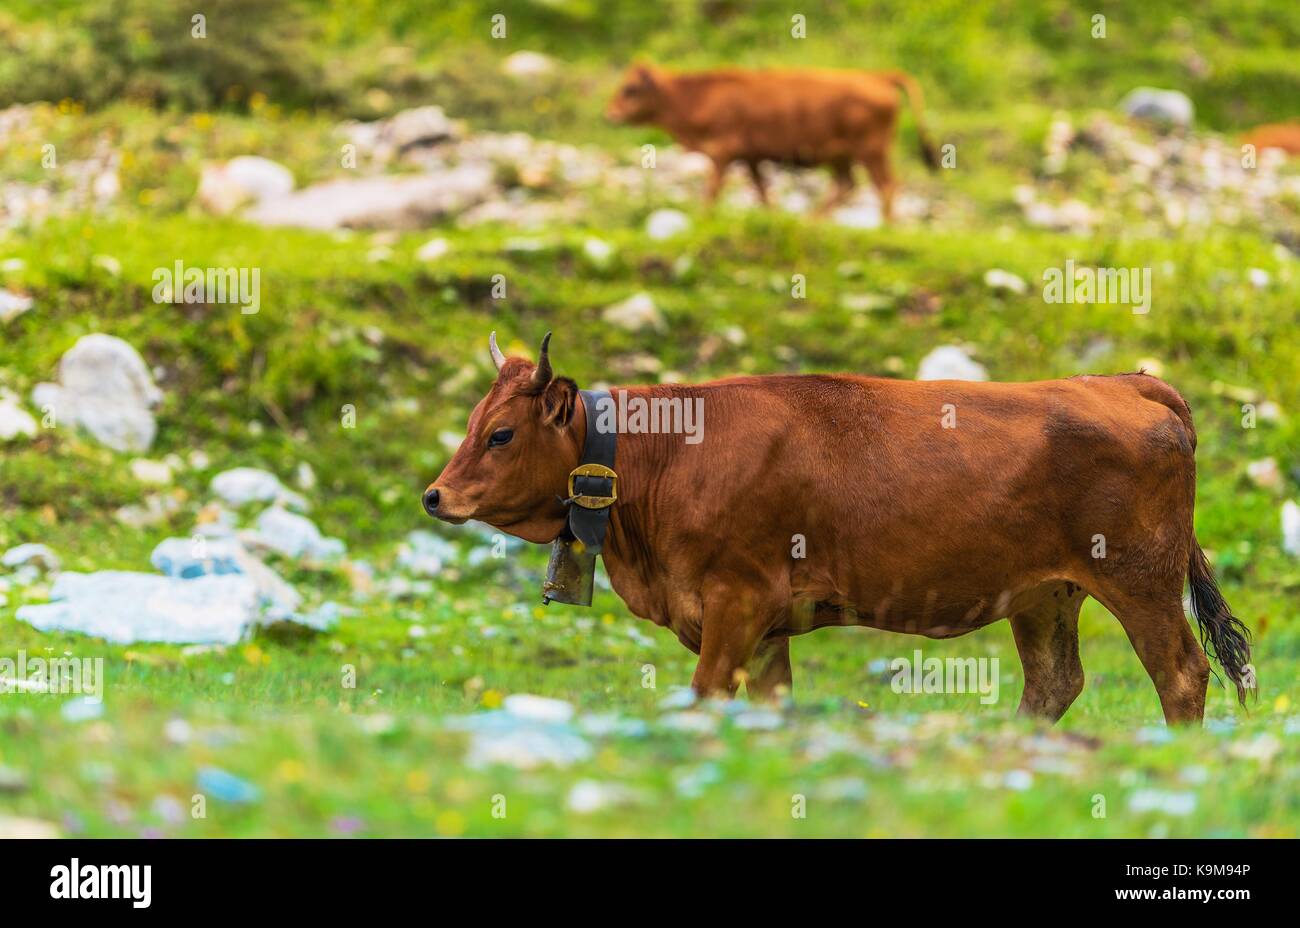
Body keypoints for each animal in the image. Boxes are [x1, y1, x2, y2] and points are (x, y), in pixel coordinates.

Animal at [424, 334, 1253, 725]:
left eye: (500, 434)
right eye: (472, 423)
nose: (435, 496)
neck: (665, 454)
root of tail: (1128, 382)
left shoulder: (735, 601)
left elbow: (704, 695)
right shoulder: (764, 626)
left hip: (1140, 581)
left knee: (1182, 674)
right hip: (1046, 594)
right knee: (1054, 682)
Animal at [605, 63, 940, 219]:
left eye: (630, 89)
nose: (610, 114)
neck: (701, 97)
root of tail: (880, 76)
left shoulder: (723, 153)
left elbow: (711, 192)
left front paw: (703, 218)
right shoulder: (751, 158)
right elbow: (763, 191)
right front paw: (774, 217)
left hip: (871, 150)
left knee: (886, 185)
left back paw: (887, 227)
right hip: (840, 156)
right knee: (847, 185)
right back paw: (811, 221)